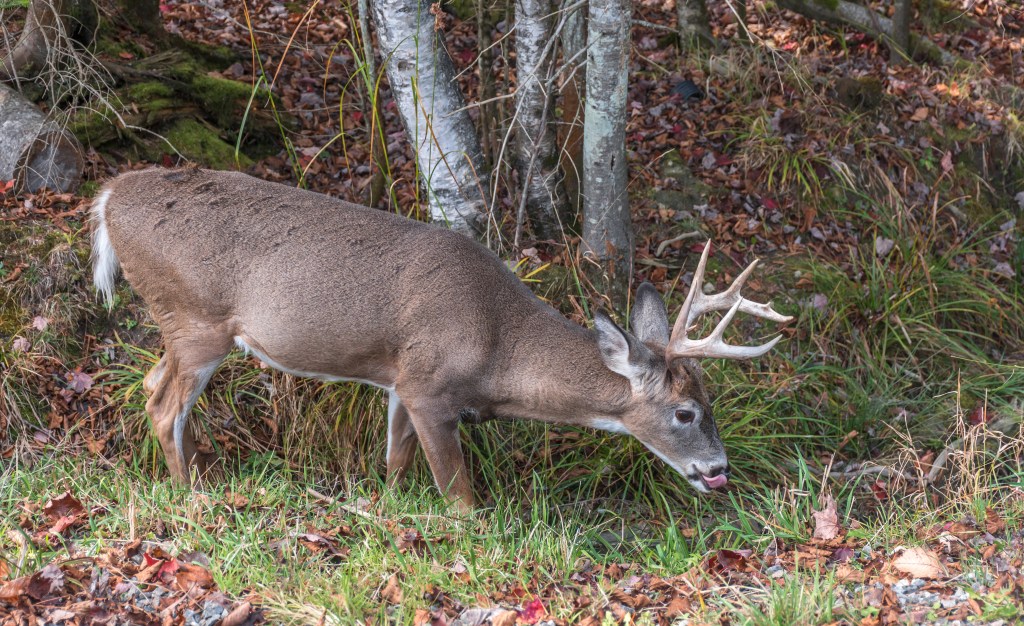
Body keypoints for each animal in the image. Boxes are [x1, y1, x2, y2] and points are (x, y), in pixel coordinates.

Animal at [90, 167, 792, 513]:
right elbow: (460, 499)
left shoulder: (400, 382)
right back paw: (192, 497)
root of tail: (108, 195)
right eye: (686, 412)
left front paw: (389, 513)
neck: (498, 346)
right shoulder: (429, 387)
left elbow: (396, 467)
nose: (719, 471)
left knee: (151, 384)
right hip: (196, 318)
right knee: (163, 405)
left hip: (181, 326)